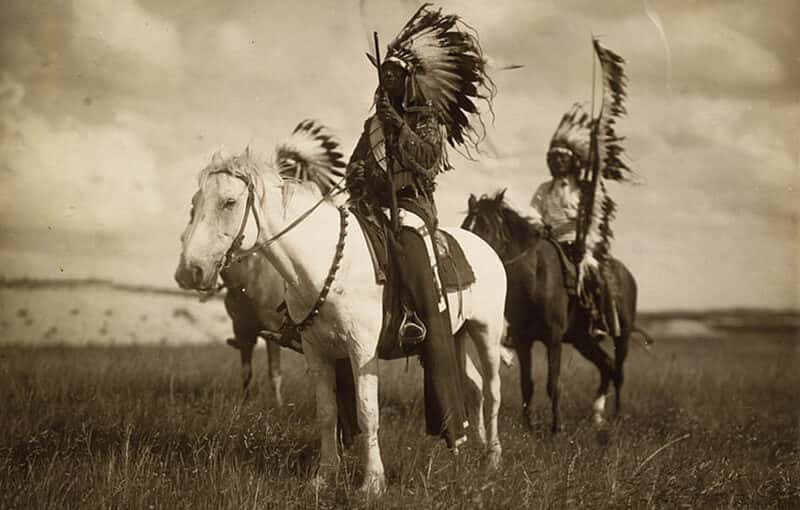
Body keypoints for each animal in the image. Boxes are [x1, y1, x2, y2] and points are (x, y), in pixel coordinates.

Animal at [174, 148, 507, 495]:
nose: (190, 271)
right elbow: (326, 413)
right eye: (195, 203)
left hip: (486, 333)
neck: (324, 264)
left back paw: (493, 458)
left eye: (228, 202)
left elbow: (367, 413)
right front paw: (325, 475)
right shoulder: (318, 353)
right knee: (473, 387)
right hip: (457, 336)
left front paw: (373, 482)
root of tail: (485, 248)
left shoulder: (361, 351)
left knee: (492, 390)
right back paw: (471, 446)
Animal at [462, 190, 652, 433]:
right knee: (606, 365)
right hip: (583, 340)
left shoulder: (553, 339)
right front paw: (529, 427)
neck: (535, 277)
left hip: (622, 337)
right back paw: (597, 416)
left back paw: (617, 415)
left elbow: (553, 384)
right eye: (465, 226)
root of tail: (627, 275)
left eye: (485, 227)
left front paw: (556, 428)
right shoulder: (524, 340)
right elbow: (527, 384)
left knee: (618, 371)